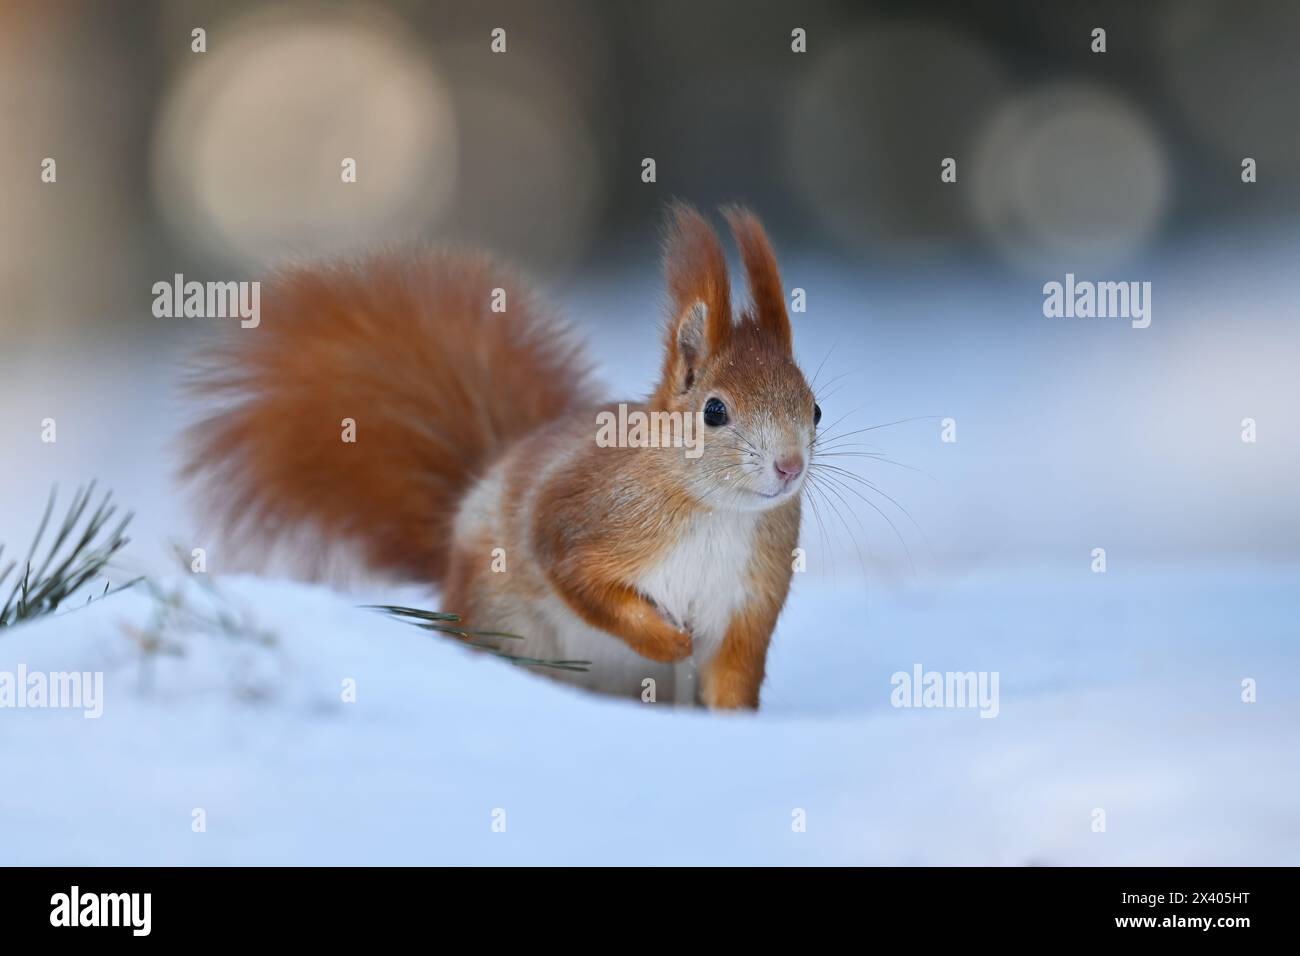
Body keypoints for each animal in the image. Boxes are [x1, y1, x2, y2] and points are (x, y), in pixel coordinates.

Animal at [183, 203, 819, 709]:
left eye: (814, 409)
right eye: (714, 411)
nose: (790, 467)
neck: (719, 511)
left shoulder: (750, 605)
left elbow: (733, 679)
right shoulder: (573, 518)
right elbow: (581, 584)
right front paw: (666, 639)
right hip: (504, 619)